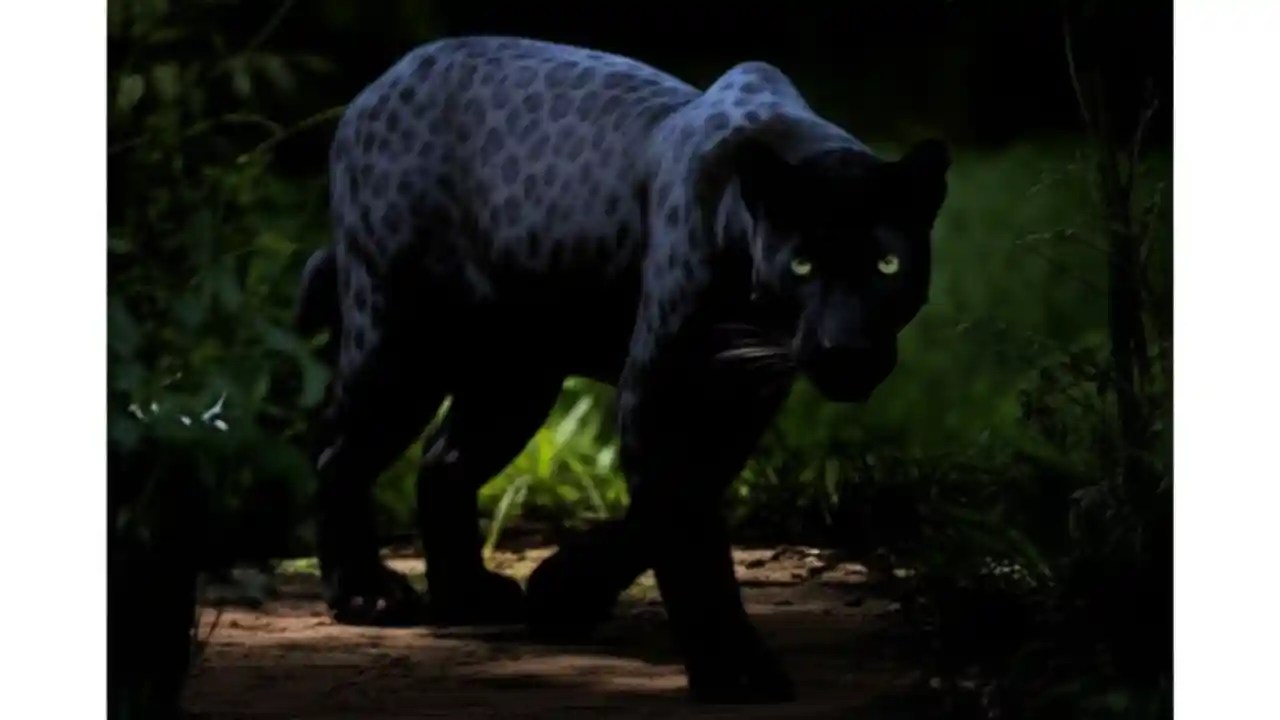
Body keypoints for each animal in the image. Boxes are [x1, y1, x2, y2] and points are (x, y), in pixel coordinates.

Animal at [295, 35, 950, 704]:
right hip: (401, 343)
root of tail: (375, 89)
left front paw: (565, 588)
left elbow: (670, 510)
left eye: (888, 265)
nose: (846, 347)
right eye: (803, 266)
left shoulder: (737, 402)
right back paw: (364, 594)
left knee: (442, 461)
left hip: (514, 378)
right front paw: (734, 670)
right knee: (338, 453)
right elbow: (687, 532)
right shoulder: (659, 392)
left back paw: (469, 596)